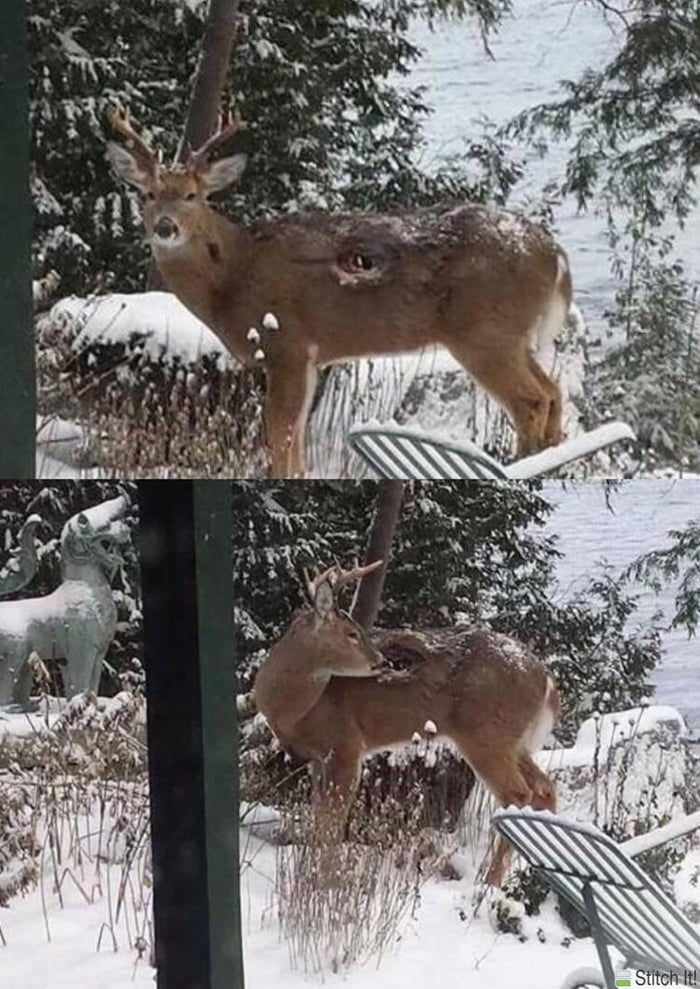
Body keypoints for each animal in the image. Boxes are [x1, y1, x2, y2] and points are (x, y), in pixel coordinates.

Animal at [106, 108, 571, 479]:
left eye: (192, 195)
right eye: (148, 194)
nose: (165, 226)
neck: (233, 275)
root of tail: (553, 253)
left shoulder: (287, 343)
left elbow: (281, 436)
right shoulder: (310, 358)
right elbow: (295, 443)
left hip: (483, 332)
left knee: (531, 401)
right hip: (511, 335)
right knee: (552, 392)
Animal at [253, 560, 559, 885]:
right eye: (351, 633)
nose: (382, 661)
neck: (291, 709)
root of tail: (546, 681)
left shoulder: (345, 744)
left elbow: (331, 823)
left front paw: (325, 880)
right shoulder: (318, 759)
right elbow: (319, 817)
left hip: (486, 734)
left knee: (519, 794)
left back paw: (489, 882)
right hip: (516, 741)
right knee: (544, 789)